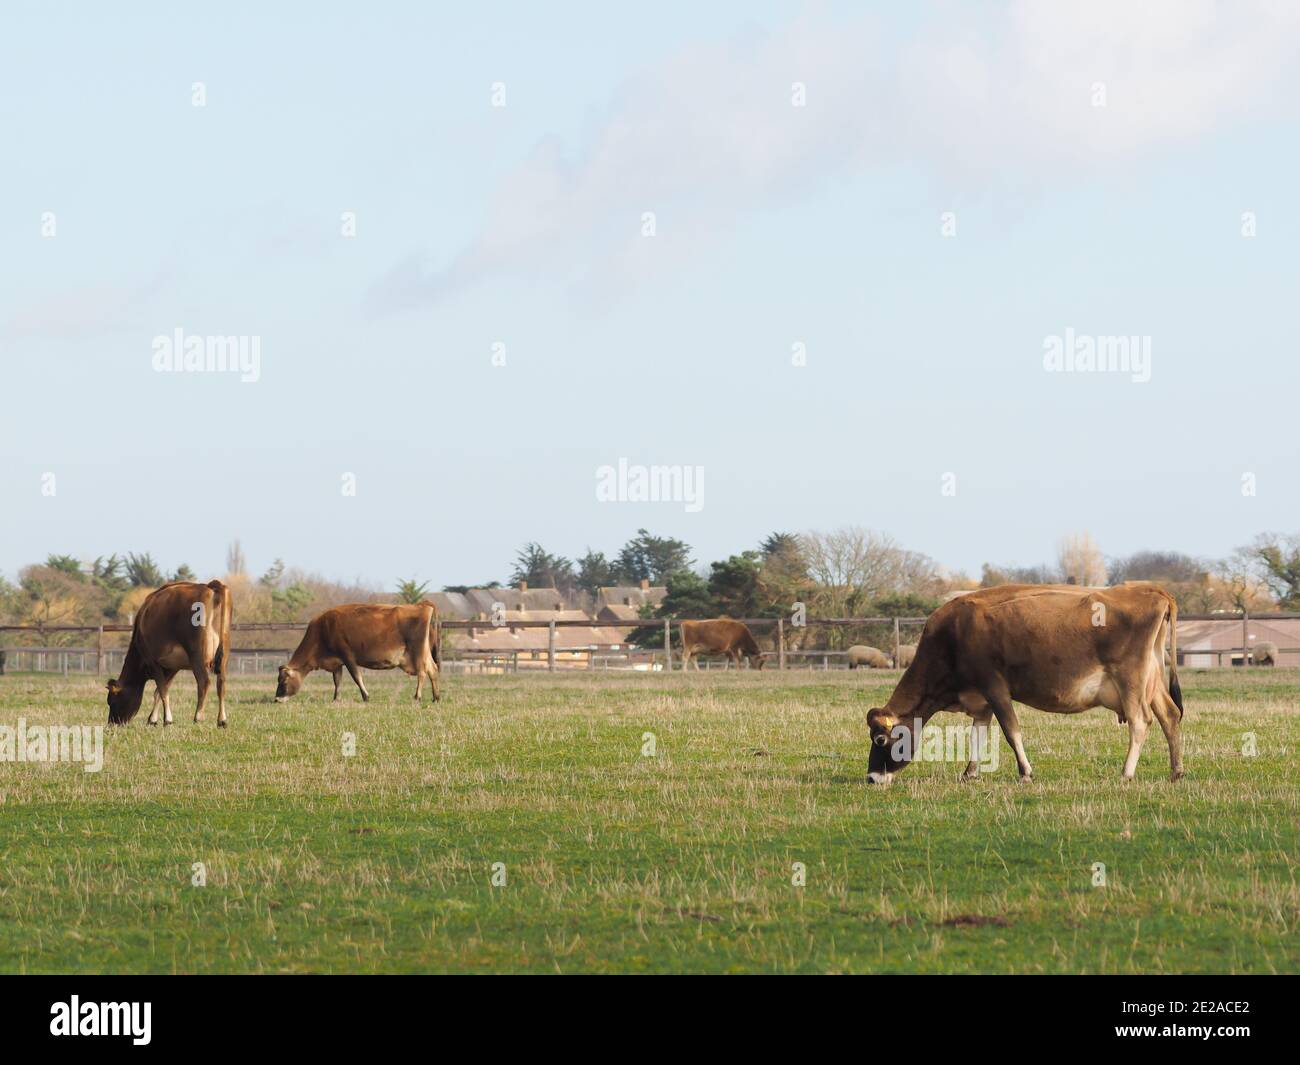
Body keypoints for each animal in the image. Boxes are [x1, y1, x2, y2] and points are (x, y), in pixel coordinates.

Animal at [106, 580, 232, 727]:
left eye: (111, 701)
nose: (111, 724)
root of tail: (210, 585)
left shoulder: (152, 661)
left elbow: (162, 690)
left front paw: (167, 719)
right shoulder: (172, 667)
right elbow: (159, 691)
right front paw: (153, 719)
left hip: (197, 655)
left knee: (204, 682)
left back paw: (198, 717)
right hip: (224, 654)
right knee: (221, 683)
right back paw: (222, 720)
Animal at [276, 603, 440, 703]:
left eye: (283, 682)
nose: (276, 699)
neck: (322, 629)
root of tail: (423, 605)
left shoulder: (347, 655)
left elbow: (356, 676)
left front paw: (365, 696)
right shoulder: (337, 662)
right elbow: (337, 681)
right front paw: (336, 699)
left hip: (417, 651)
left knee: (422, 672)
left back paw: (418, 697)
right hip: (425, 653)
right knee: (433, 670)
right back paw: (436, 697)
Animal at [865, 584, 1184, 785]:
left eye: (880, 739)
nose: (871, 777)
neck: (951, 635)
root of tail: (1151, 591)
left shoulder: (995, 687)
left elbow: (1011, 731)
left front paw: (1026, 772)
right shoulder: (981, 700)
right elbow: (977, 736)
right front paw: (970, 773)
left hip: (1131, 680)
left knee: (1140, 722)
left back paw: (1127, 772)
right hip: (1152, 682)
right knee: (1170, 716)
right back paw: (1176, 771)